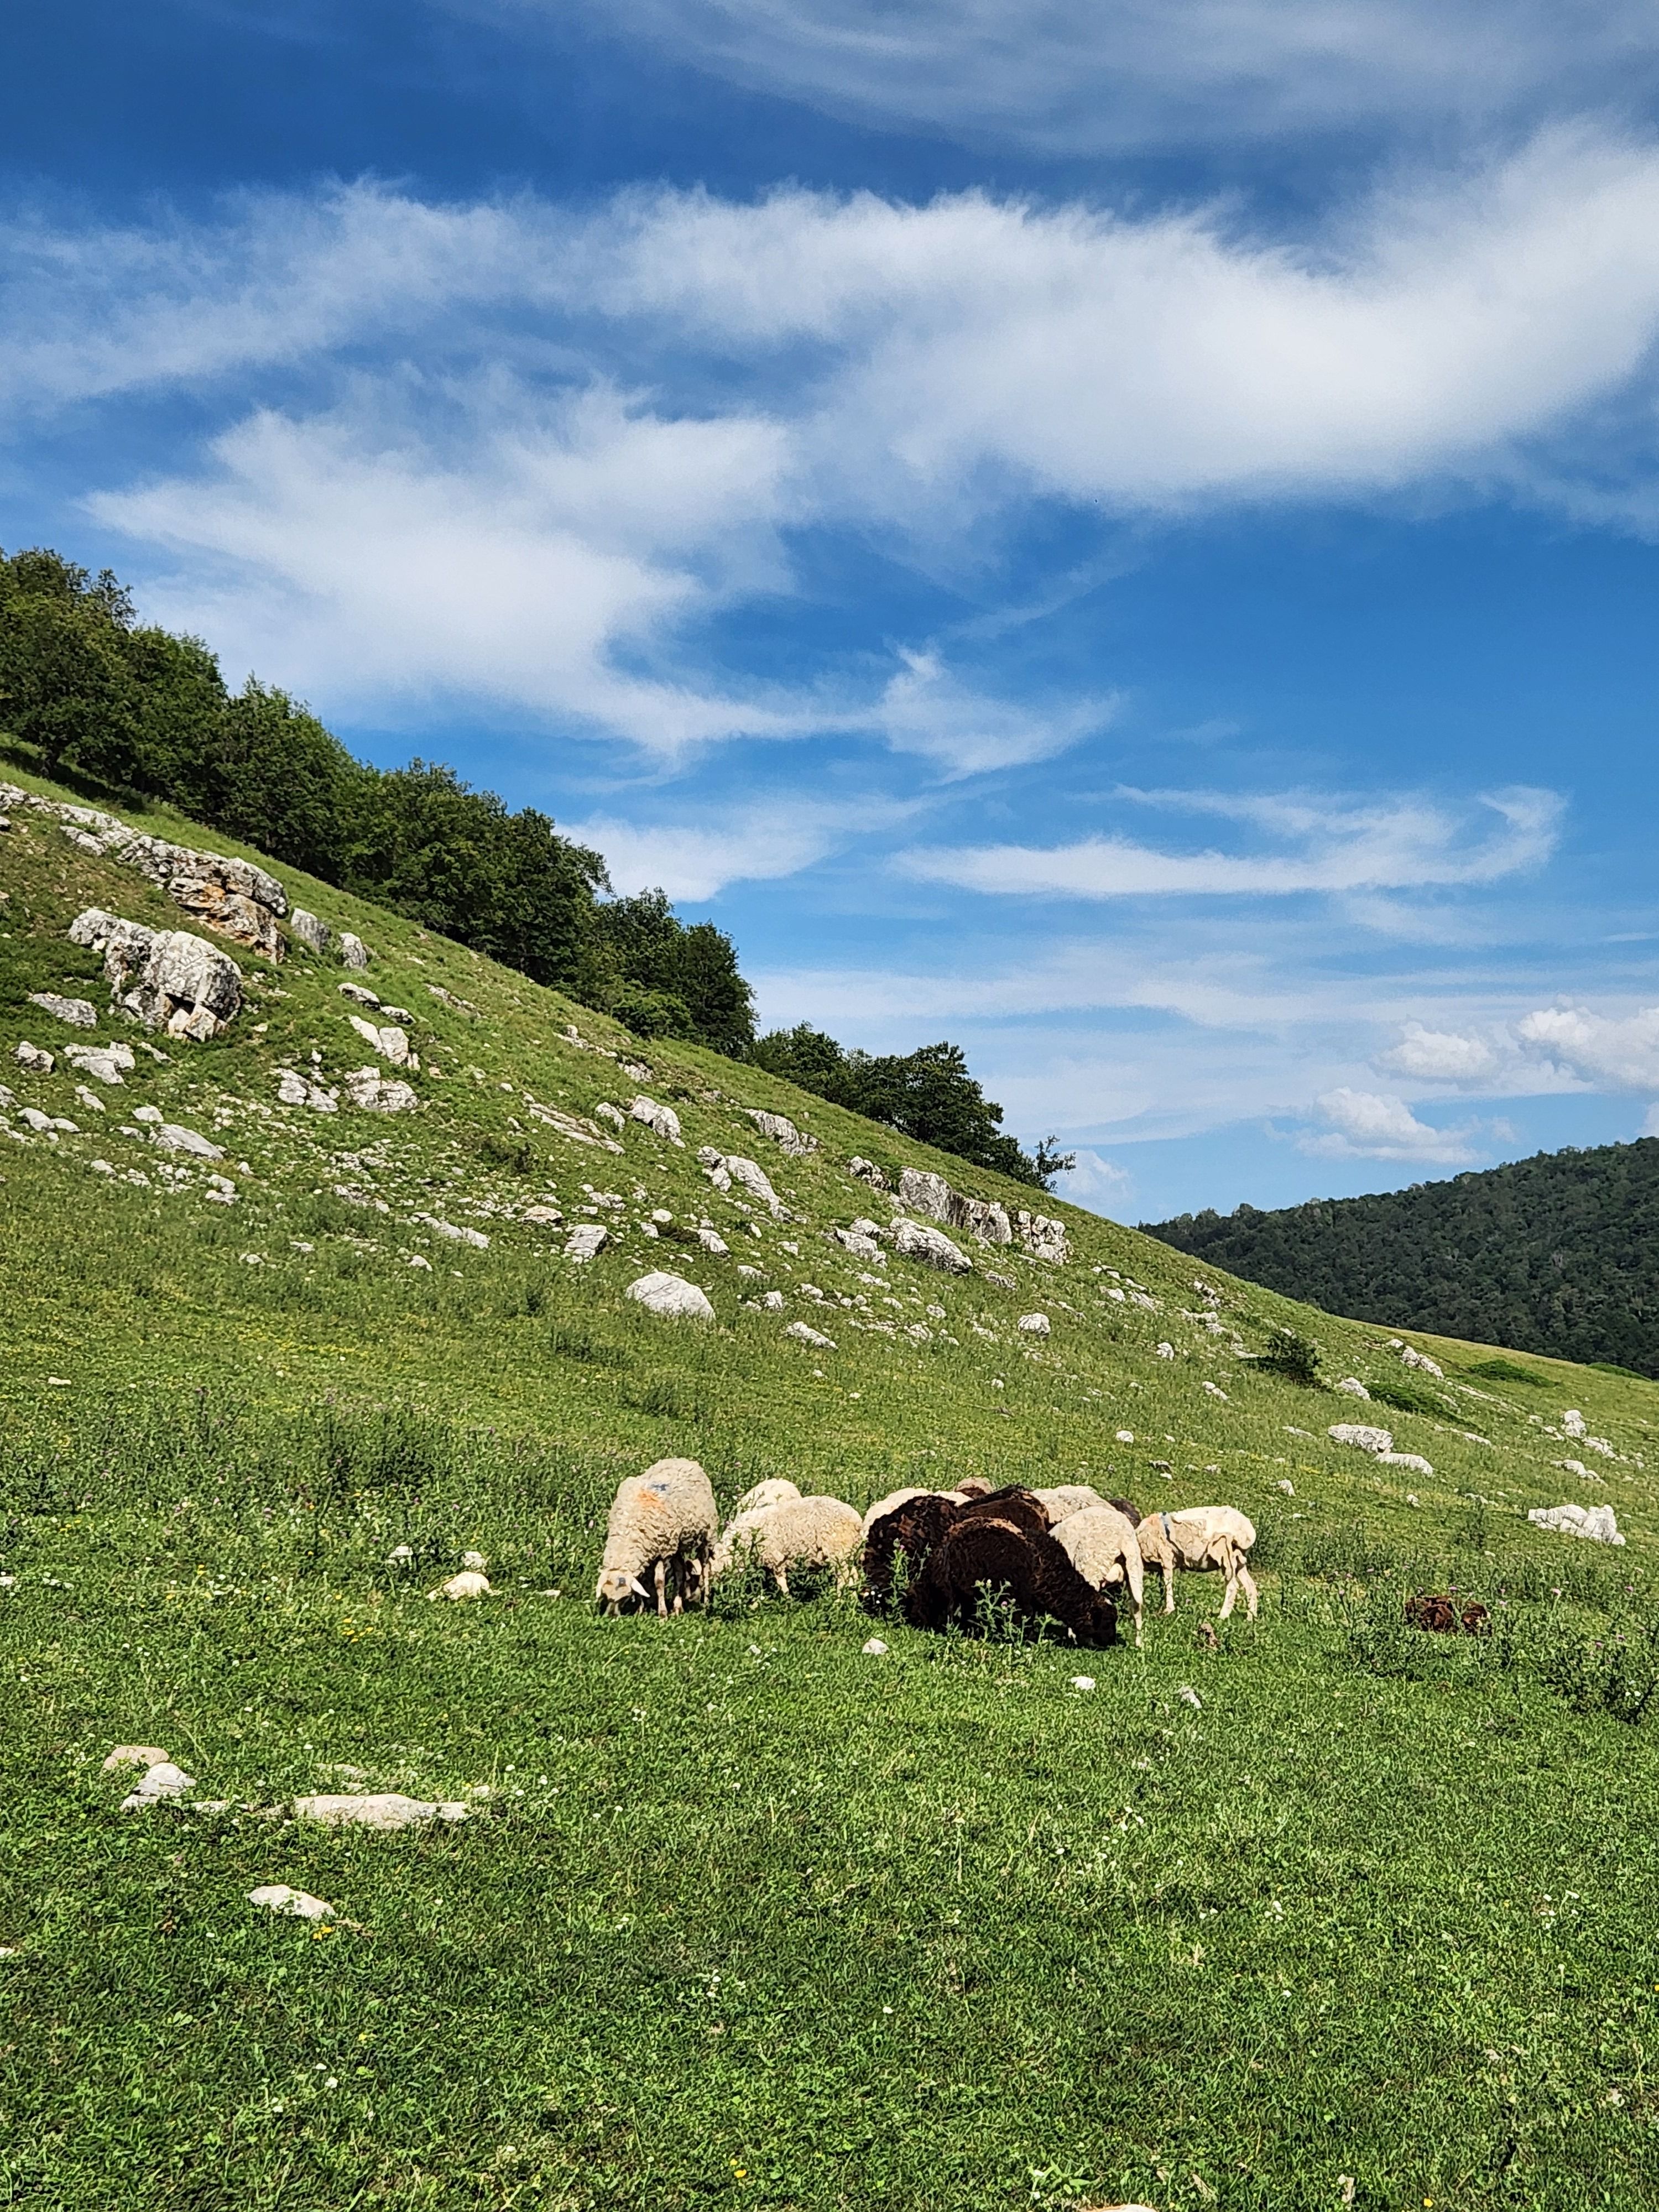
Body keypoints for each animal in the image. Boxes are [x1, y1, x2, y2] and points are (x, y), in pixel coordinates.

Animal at [596, 1457, 718, 1617]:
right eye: (606, 1596)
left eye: (625, 1597)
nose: (611, 1616)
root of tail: (683, 1460)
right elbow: (642, 1582)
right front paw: (640, 1611)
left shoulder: (663, 1552)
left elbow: (659, 1582)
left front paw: (662, 1614)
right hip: (677, 1544)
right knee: (681, 1572)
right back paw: (677, 1608)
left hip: (706, 1534)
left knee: (705, 1567)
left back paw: (706, 1603)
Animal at [711, 1494, 864, 1596]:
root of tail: (857, 1520)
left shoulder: (774, 1557)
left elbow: (781, 1581)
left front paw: (786, 1599)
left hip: (839, 1551)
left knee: (846, 1577)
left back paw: (840, 1600)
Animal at [1053, 1504, 1147, 1648]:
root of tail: (1124, 1536)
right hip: (1135, 1568)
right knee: (1137, 1606)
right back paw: (1138, 1642)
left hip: (1091, 1566)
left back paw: (1083, 1640)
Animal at [1135, 1506, 1259, 1621]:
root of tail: (1248, 1531)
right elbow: (1161, 1585)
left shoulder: (1166, 1557)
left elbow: (1167, 1583)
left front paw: (1168, 1610)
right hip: (1238, 1558)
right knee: (1250, 1586)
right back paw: (1251, 1618)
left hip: (1222, 1548)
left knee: (1233, 1585)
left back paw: (1223, 1616)